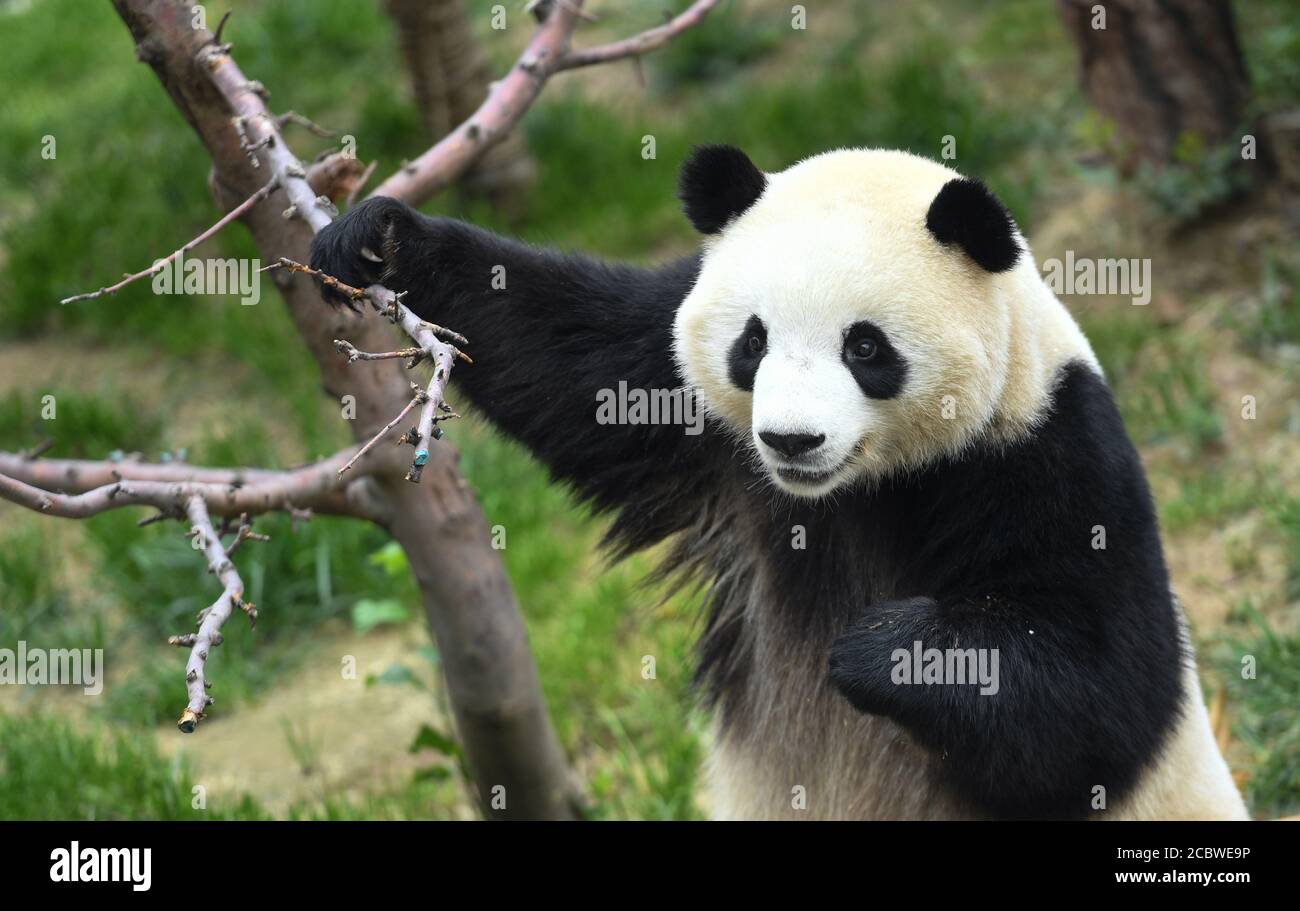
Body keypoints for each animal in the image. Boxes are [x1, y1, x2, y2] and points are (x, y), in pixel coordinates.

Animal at [310, 145, 1249, 820]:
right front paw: (382, 237)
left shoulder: (1044, 452)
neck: (852, 491)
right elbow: (562, 353)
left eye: (865, 346)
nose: (792, 439)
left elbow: (1103, 690)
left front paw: (883, 646)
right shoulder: (690, 411)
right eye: (753, 340)